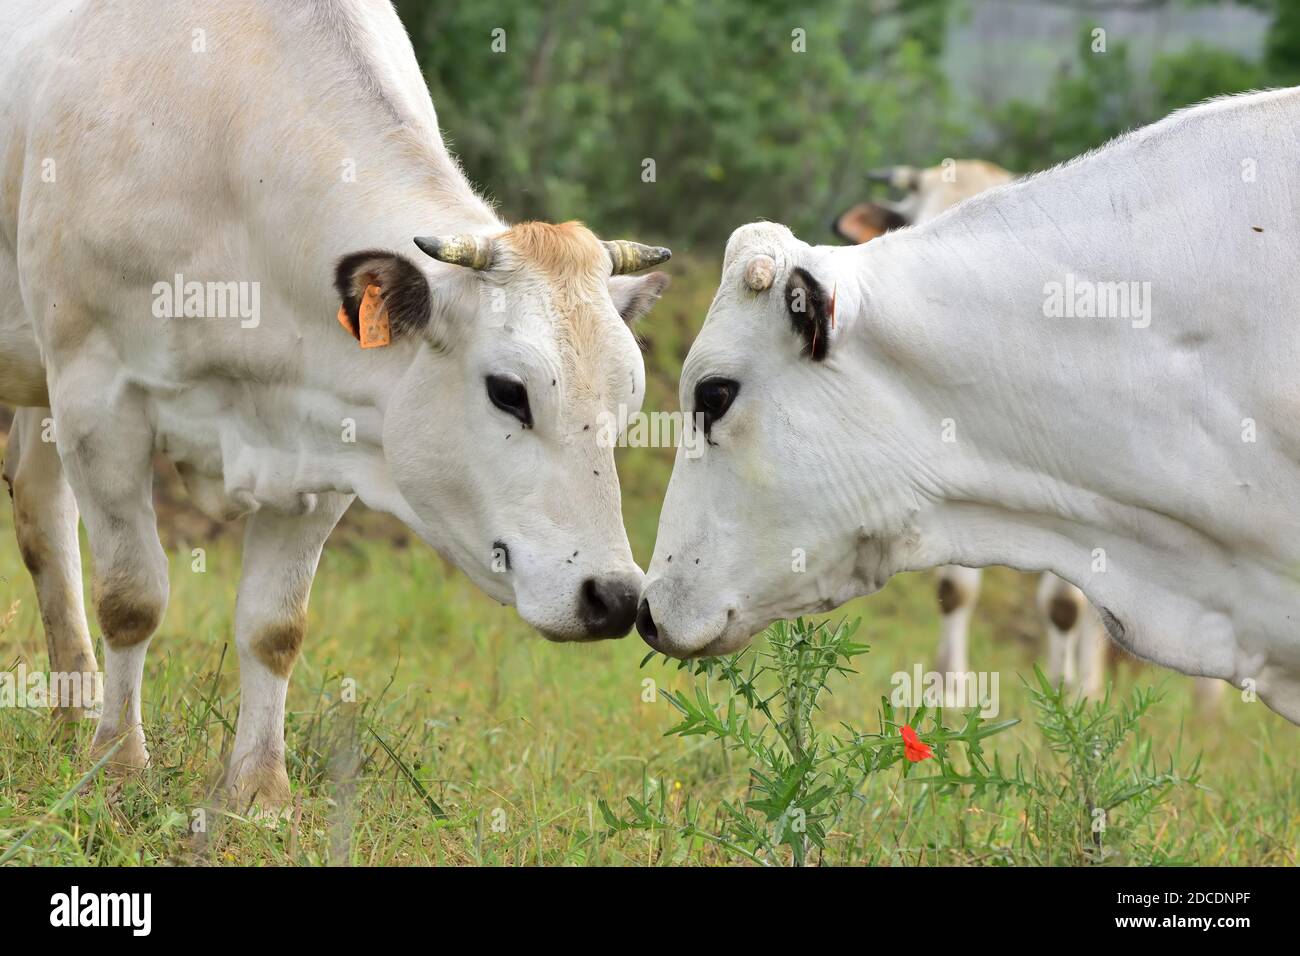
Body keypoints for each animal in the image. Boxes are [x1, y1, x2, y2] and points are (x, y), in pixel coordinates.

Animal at [0, 0, 671, 807]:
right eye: (509, 392)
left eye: (627, 405)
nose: (615, 596)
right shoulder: (97, 397)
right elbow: (132, 598)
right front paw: (120, 770)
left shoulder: (329, 433)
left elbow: (274, 627)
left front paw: (259, 794)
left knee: (39, 504)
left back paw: (72, 718)